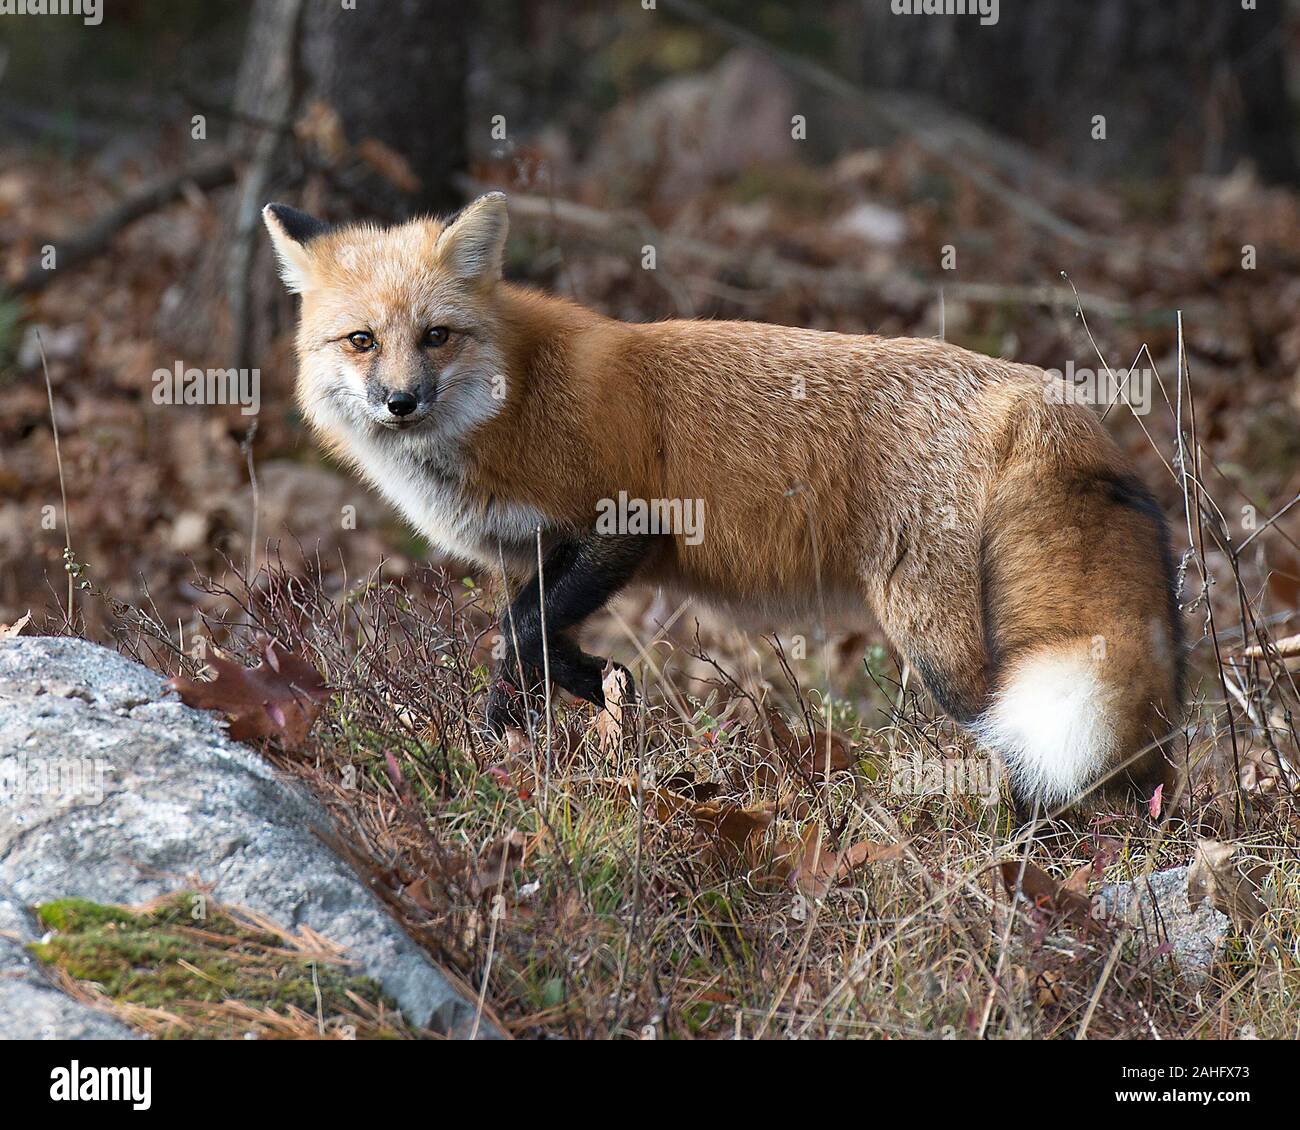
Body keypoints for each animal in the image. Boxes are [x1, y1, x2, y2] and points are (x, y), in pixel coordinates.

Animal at [262, 191, 1184, 815]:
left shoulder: (621, 525)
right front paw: (598, 695)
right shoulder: (531, 555)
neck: (514, 400)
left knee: (1023, 745)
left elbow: (519, 637)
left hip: (944, 650)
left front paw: (503, 739)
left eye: (437, 337)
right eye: (361, 340)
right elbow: (535, 640)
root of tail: (1037, 390)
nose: (400, 402)